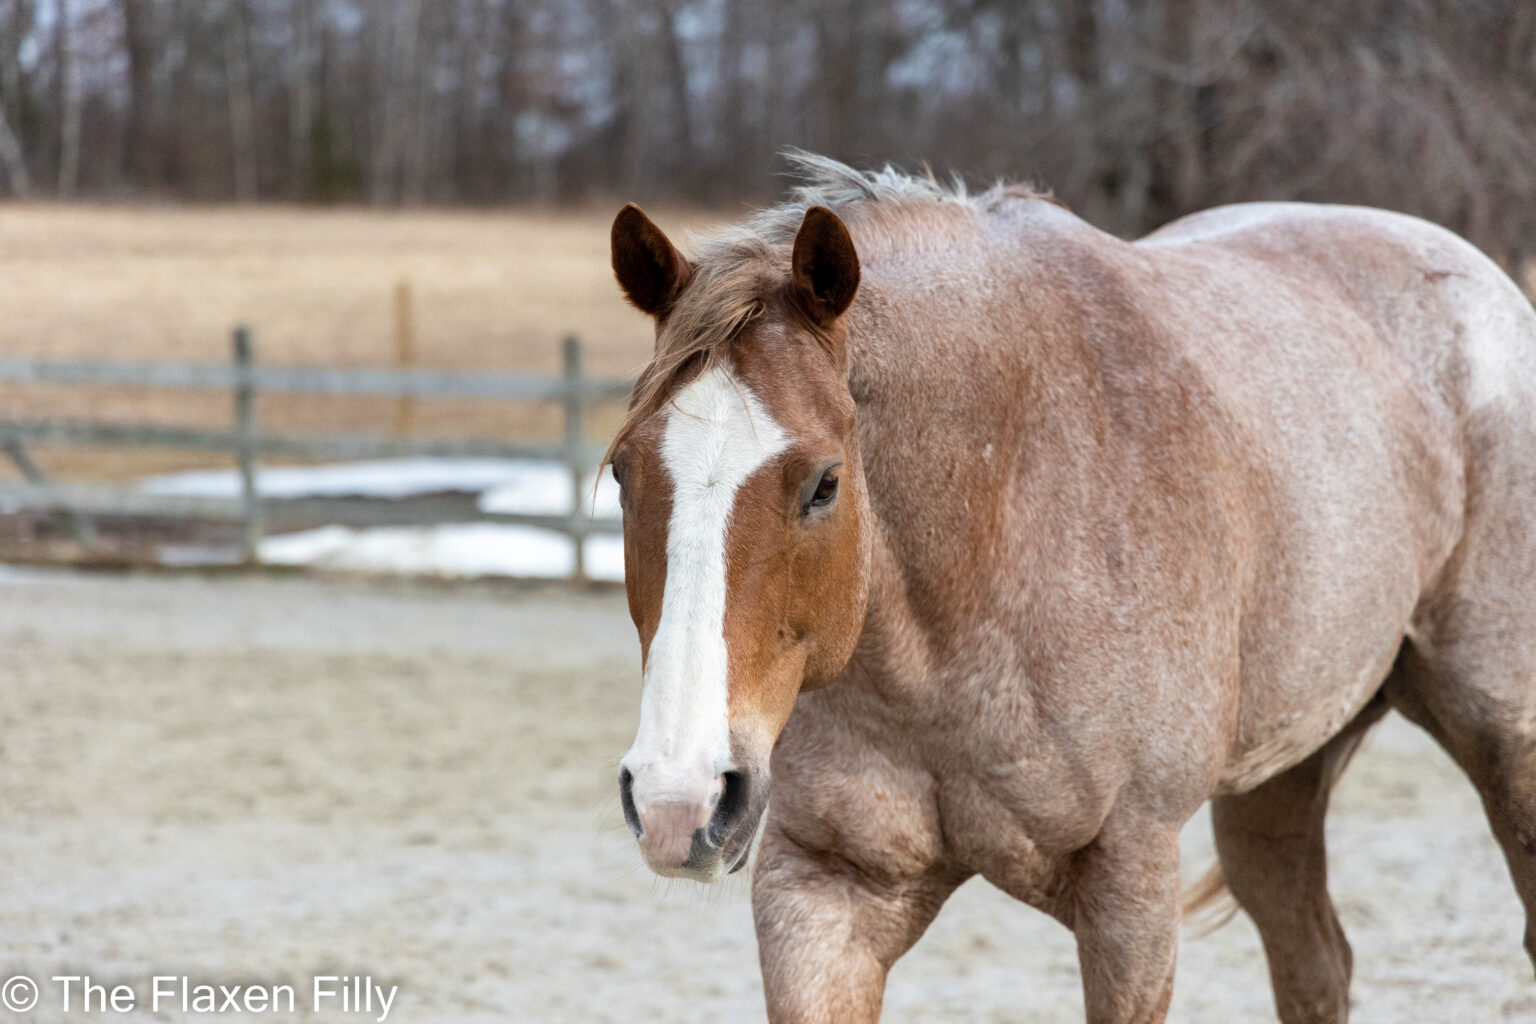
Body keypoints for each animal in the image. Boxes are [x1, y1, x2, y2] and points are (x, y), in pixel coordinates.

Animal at [604, 153, 1536, 1023]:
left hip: (1505, 746)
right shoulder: (824, 891)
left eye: (825, 483)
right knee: (1315, 964)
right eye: (621, 471)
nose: (678, 799)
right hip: (1278, 784)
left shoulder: (1132, 890)